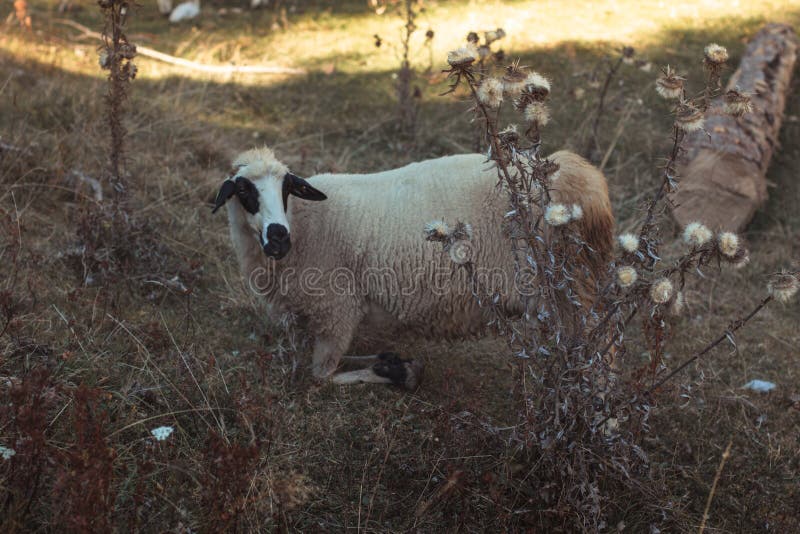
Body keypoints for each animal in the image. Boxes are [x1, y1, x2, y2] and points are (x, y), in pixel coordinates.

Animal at [213, 147, 614, 387]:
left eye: (286, 189)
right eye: (244, 191)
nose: (278, 238)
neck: (306, 222)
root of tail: (579, 180)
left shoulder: (336, 309)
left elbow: (323, 374)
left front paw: (397, 371)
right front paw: (392, 360)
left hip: (566, 287)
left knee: (598, 349)